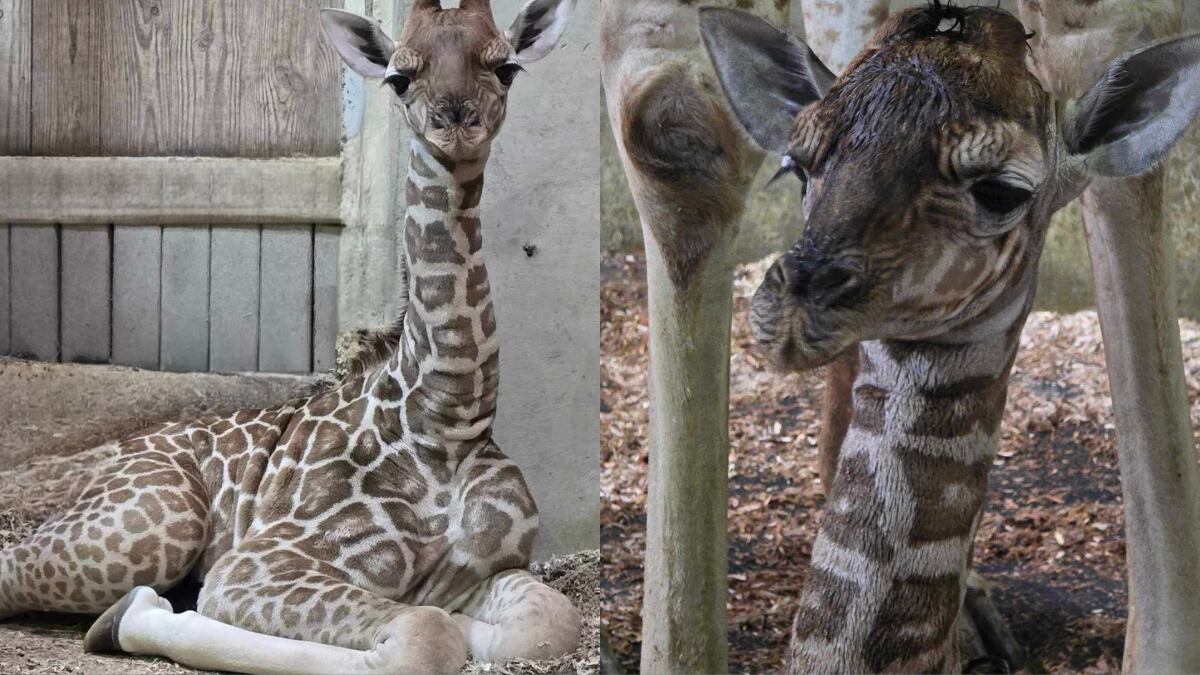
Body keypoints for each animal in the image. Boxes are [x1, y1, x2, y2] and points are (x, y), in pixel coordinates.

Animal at [0, 1, 581, 673]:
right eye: (399, 77)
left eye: (505, 66)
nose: (455, 123)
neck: (448, 422)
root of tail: (110, 455)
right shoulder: (260, 560)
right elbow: (423, 636)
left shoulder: (478, 571)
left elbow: (547, 622)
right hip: (152, 524)